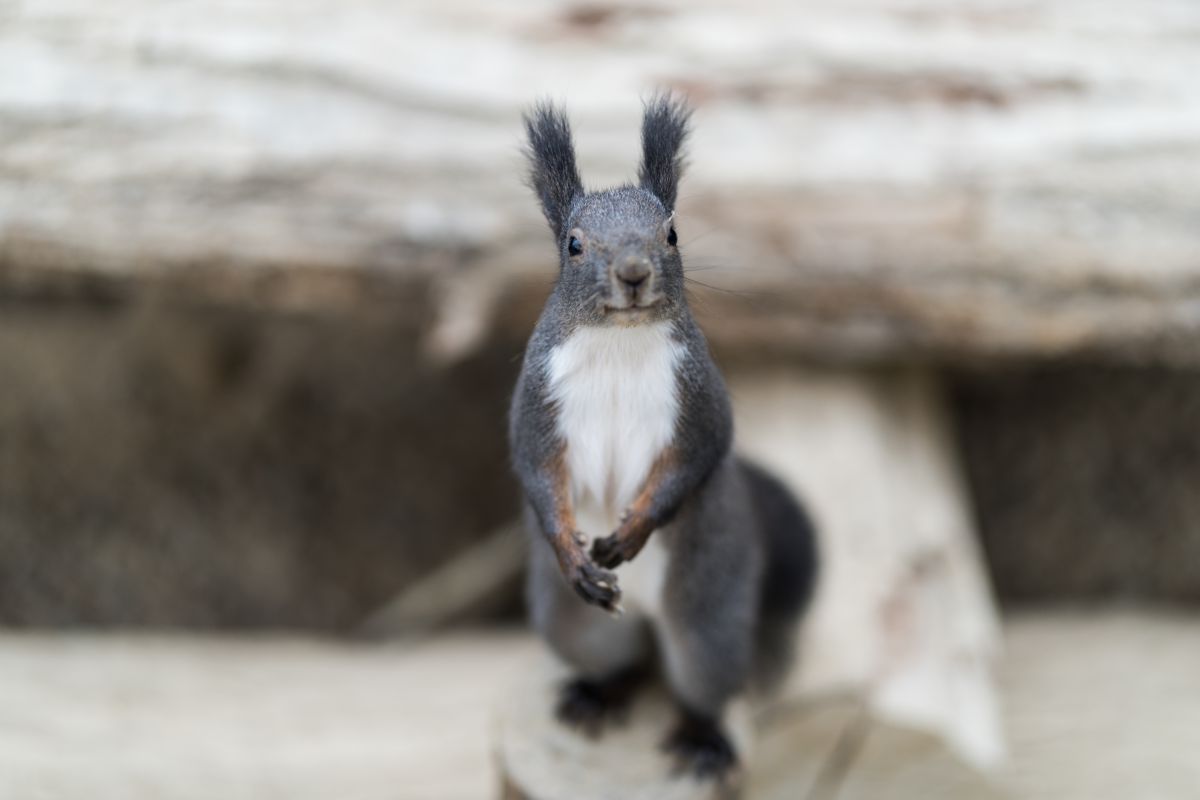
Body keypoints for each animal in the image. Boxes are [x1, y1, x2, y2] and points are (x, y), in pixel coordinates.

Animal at [509, 94, 819, 781]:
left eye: (671, 233)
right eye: (573, 244)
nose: (632, 272)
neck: (619, 343)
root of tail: (649, 619)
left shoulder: (699, 398)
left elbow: (696, 457)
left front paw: (633, 531)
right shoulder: (537, 401)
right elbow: (536, 470)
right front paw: (573, 549)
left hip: (709, 621)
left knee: (701, 683)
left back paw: (703, 740)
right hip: (577, 625)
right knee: (618, 660)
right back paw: (595, 694)